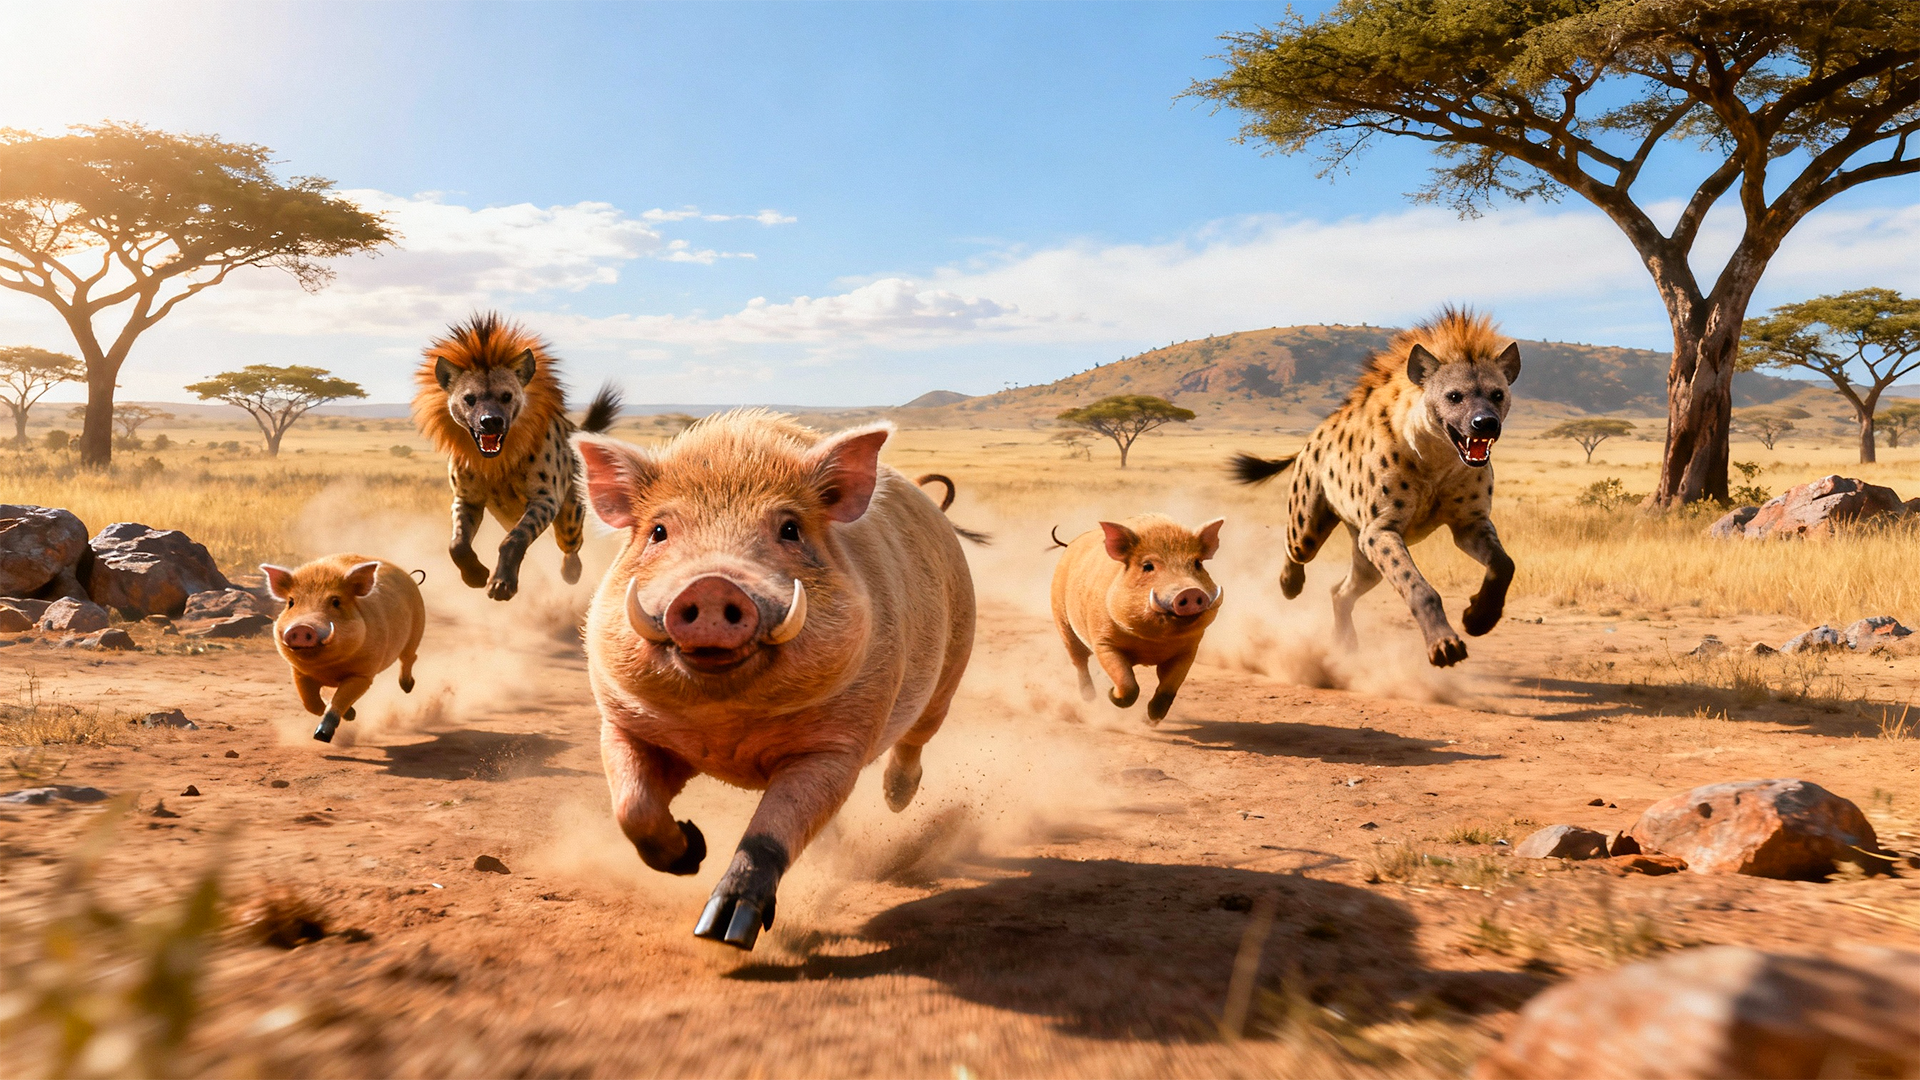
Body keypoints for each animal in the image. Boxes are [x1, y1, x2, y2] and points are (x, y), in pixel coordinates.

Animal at [261, 555, 426, 744]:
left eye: (336, 602)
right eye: (291, 602)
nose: (302, 627)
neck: (327, 669)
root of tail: (409, 577)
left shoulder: (363, 675)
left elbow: (338, 700)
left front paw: (321, 736)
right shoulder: (299, 673)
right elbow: (310, 704)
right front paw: (350, 715)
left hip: (417, 628)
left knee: (409, 657)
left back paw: (407, 687)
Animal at [574, 410, 976, 950]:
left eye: (790, 529)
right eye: (659, 531)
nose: (712, 584)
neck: (727, 731)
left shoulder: (837, 747)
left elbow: (770, 831)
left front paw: (722, 933)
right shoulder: (621, 720)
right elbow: (632, 807)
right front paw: (692, 851)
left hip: (952, 666)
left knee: (917, 737)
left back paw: (898, 799)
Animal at [1050, 514, 1224, 724]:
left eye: (1197, 564)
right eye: (1148, 566)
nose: (1190, 591)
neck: (1152, 643)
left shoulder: (1188, 650)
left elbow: (1169, 687)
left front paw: (1153, 719)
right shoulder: (1103, 642)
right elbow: (1127, 683)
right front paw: (1111, 694)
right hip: (1063, 623)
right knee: (1079, 661)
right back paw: (1090, 699)